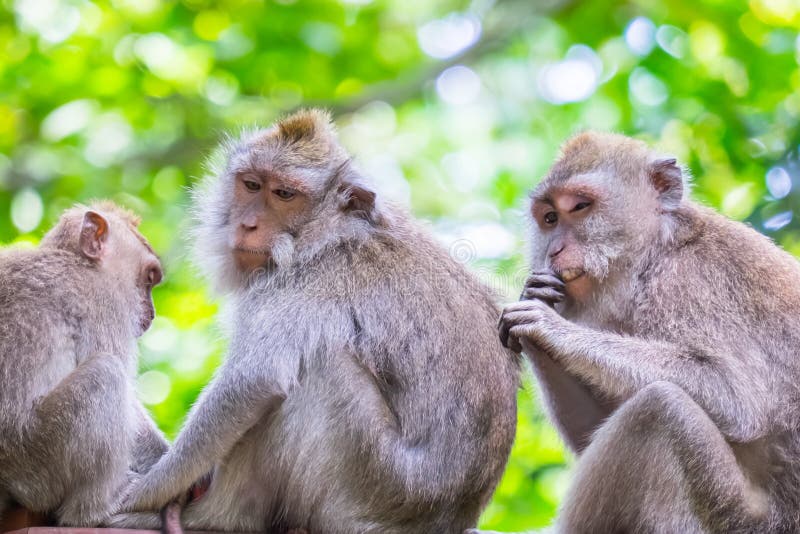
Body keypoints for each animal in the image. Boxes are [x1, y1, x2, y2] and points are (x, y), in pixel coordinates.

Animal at [0, 201, 168, 527]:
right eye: (149, 278)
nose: (153, 313)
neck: (75, 260)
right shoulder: (104, 300)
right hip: (38, 460)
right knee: (106, 373)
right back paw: (96, 510)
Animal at [108, 108, 520, 534]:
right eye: (251, 185)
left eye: (284, 195)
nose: (247, 225)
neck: (326, 235)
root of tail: (453, 518)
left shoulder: (305, 285)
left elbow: (254, 380)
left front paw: (144, 493)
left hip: (374, 488)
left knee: (321, 367)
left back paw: (214, 515)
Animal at [494, 131, 800, 533]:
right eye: (549, 218)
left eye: (580, 207)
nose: (555, 250)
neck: (655, 254)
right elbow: (589, 432)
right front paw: (537, 300)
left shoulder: (689, 282)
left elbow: (737, 397)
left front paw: (548, 325)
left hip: (734, 515)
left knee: (660, 408)